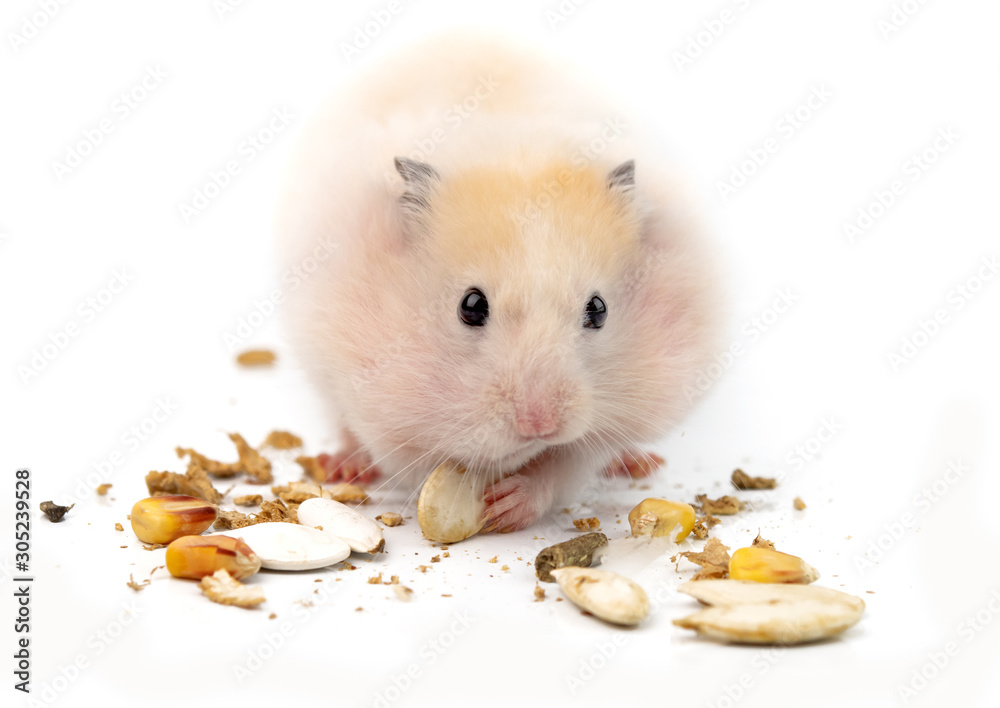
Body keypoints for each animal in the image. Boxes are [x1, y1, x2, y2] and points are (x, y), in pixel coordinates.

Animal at [276, 32, 721, 532]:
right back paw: (342, 466)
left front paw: (507, 504)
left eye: (598, 309)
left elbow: (568, 463)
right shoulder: (372, 394)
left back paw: (638, 464)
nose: (539, 426)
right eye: (470, 306)